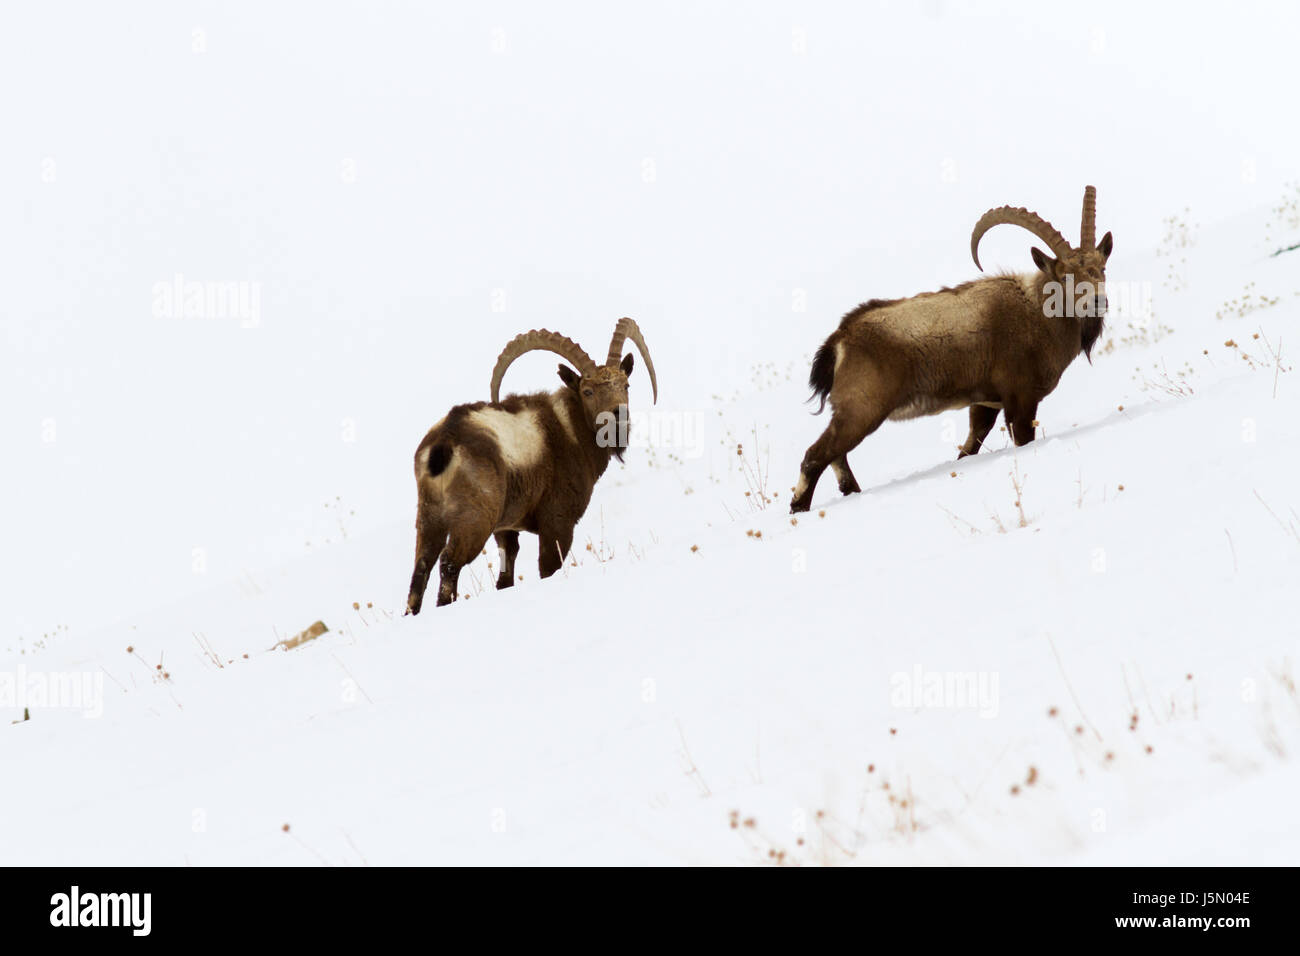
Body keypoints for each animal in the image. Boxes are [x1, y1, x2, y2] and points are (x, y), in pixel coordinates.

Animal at [405, 318, 658, 614]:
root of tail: (445, 442)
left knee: (421, 568)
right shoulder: (558, 521)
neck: (570, 430)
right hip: (473, 519)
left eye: (626, 385)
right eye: (588, 391)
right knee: (449, 563)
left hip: (429, 517)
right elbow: (548, 567)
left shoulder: (506, 528)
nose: (619, 415)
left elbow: (506, 572)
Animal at [790, 186, 1113, 513]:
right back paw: (799, 508)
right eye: (1065, 275)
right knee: (815, 457)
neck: (1038, 312)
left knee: (836, 458)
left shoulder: (985, 401)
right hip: (861, 410)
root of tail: (841, 339)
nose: (1098, 301)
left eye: (1101, 268)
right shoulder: (1021, 399)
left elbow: (970, 444)